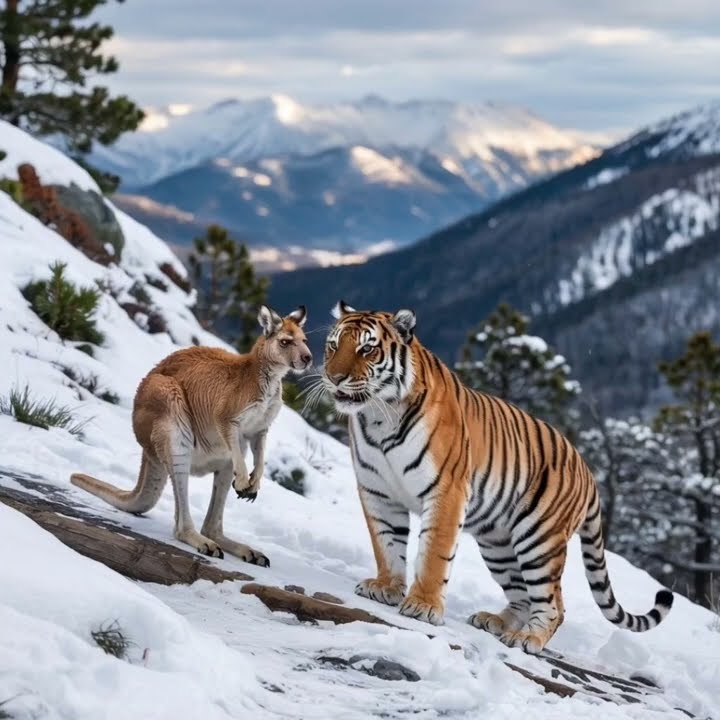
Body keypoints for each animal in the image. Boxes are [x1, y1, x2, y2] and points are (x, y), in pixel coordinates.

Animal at [322, 300, 673, 654]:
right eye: (334, 345)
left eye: (367, 348)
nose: (334, 378)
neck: (379, 416)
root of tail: (589, 473)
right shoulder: (377, 490)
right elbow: (386, 543)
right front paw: (385, 587)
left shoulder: (446, 491)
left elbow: (434, 553)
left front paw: (422, 605)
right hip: (499, 543)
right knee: (522, 596)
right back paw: (495, 622)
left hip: (540, 540)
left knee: (554, 604)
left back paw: (527, 639)